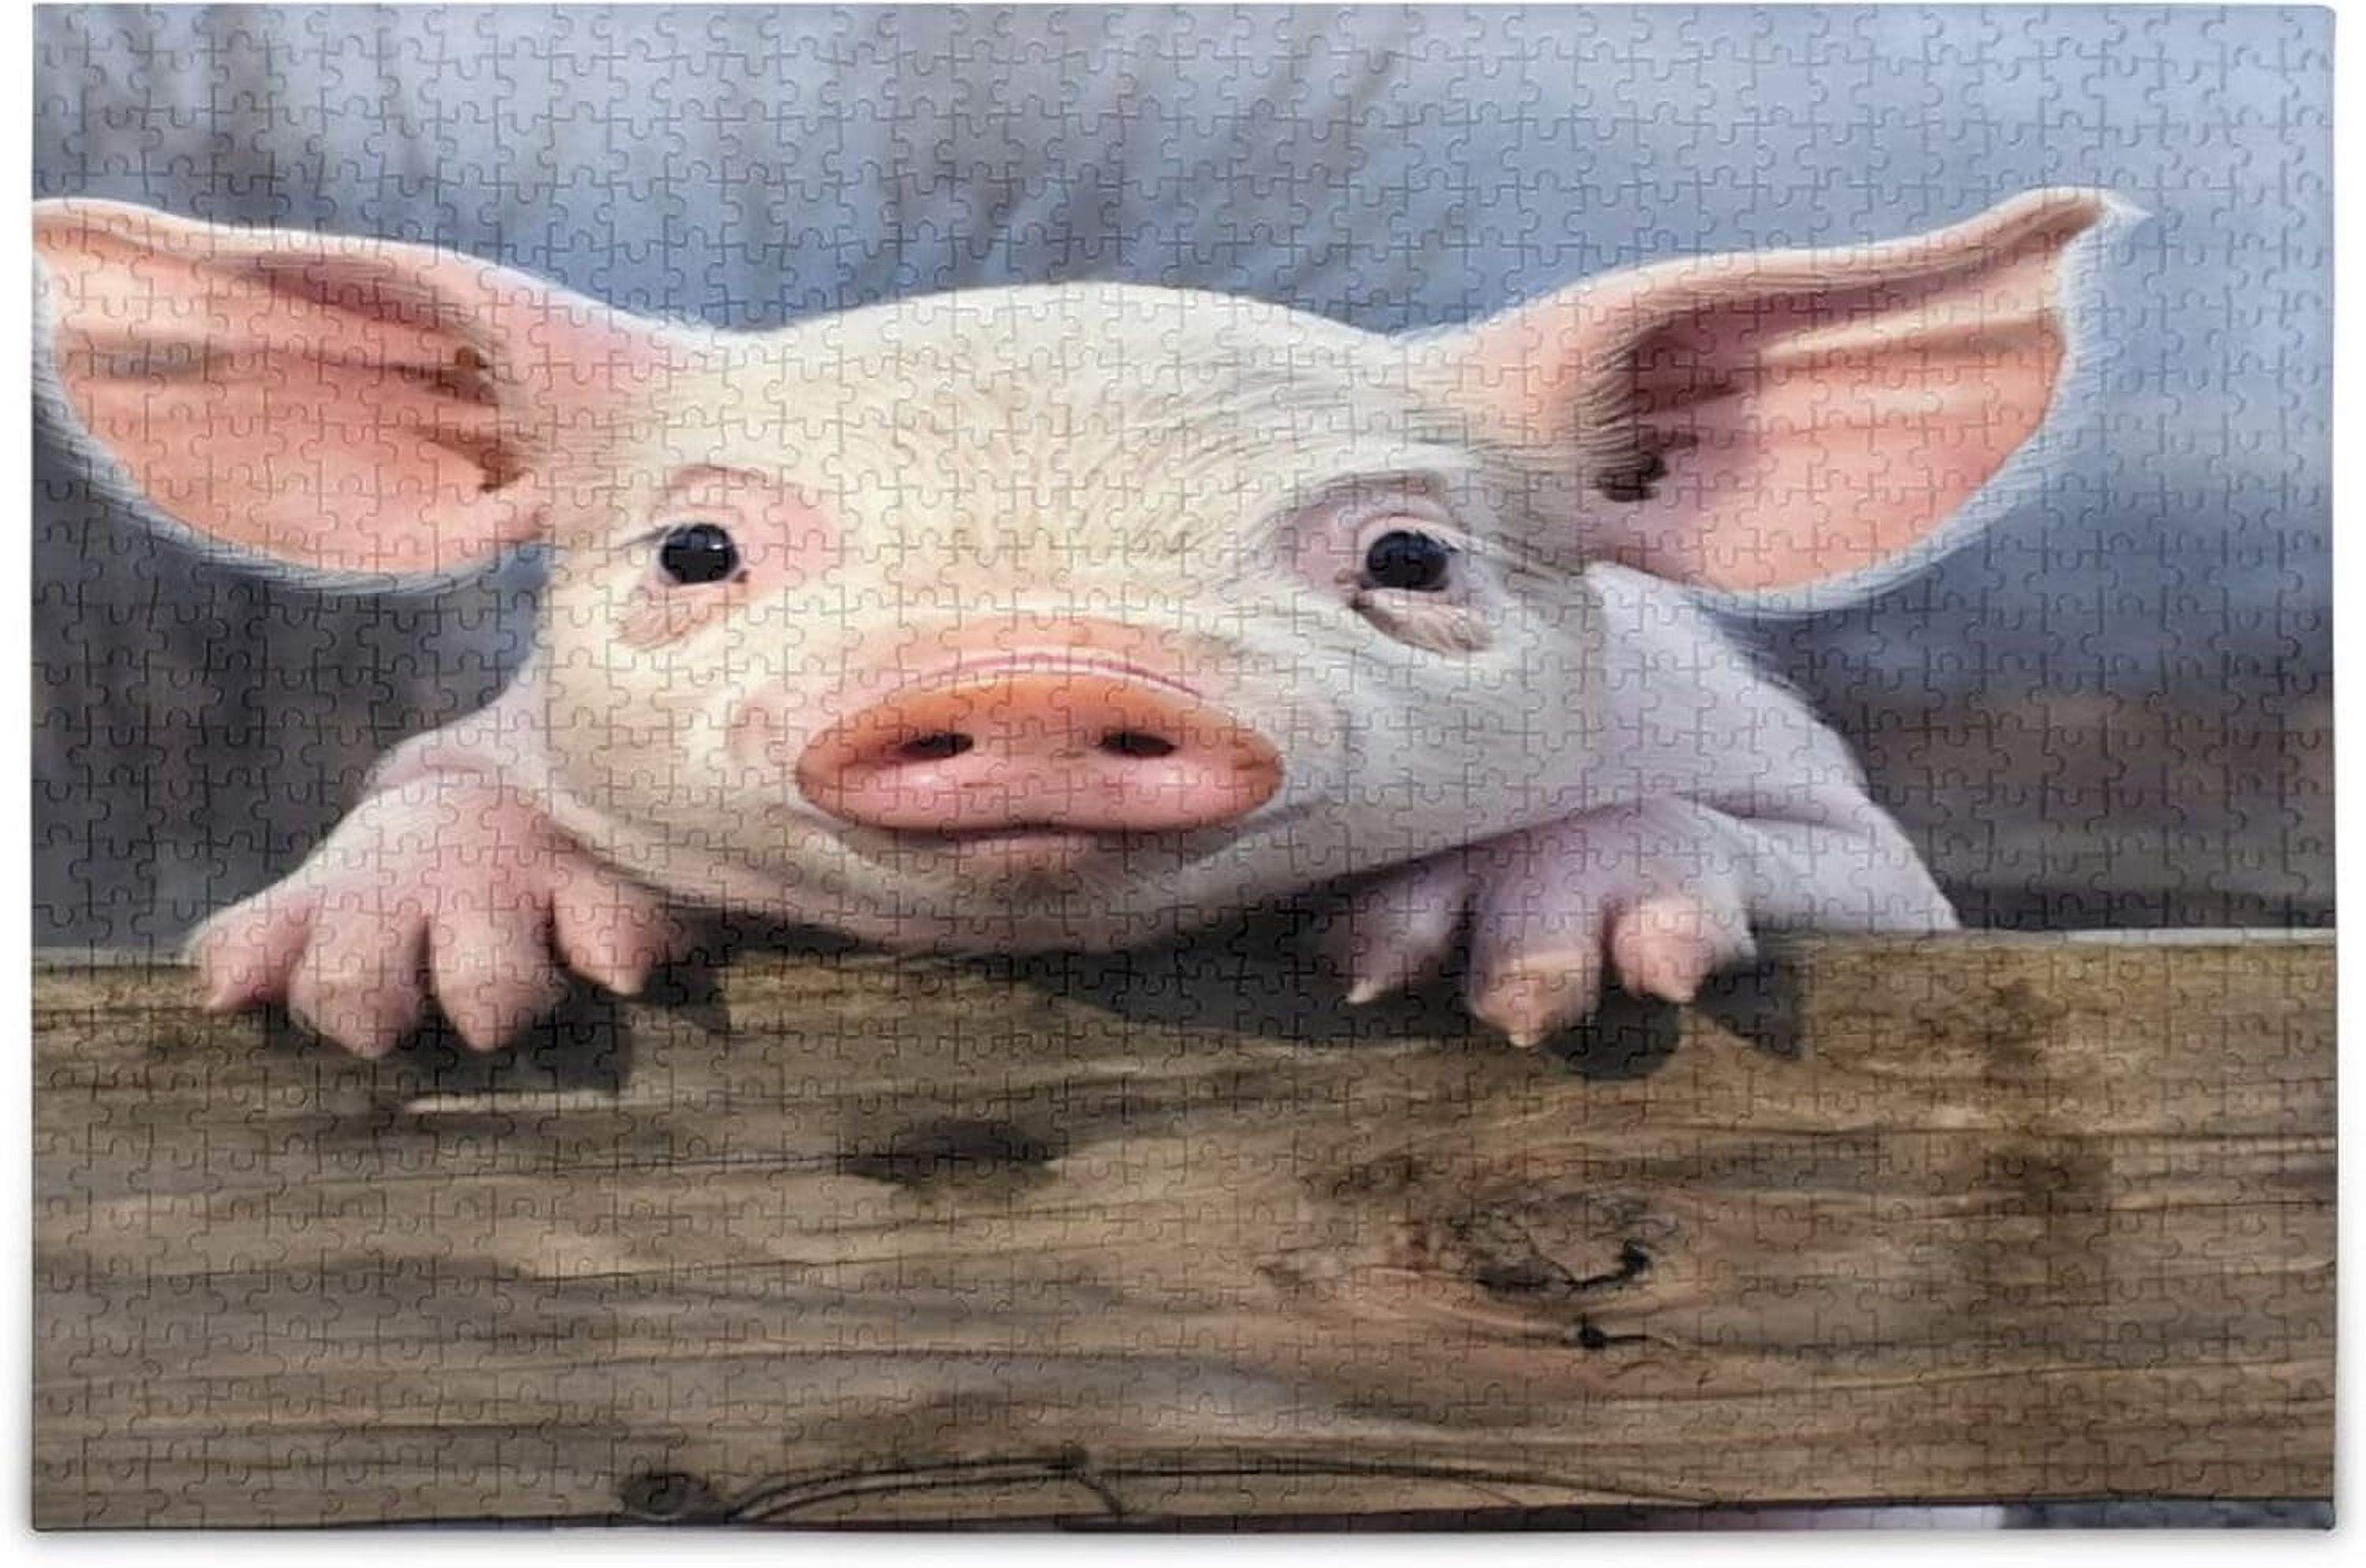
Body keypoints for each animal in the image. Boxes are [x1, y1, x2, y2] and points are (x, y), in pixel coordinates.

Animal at [33, 189, 2126, 1056]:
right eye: (697, 551)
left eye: (1411, 560)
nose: (1035, 672)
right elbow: (433, 791)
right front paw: (387, 990)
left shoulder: (1855, 844)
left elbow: (1828, 874)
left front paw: (1528, 972)